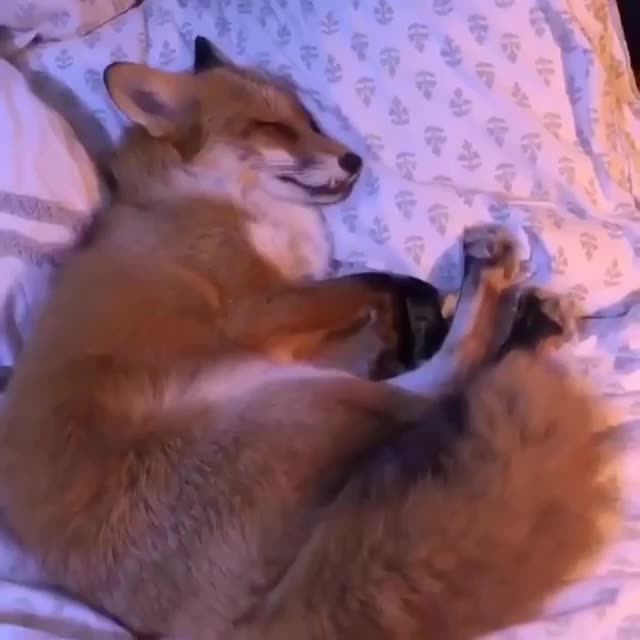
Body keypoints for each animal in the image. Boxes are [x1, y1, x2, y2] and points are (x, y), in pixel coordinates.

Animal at [0, 37, 615, 640]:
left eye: (310, 119)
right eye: (271, 128)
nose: (354, 160)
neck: (210, 196)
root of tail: (244, 625)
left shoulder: (298, 337)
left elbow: (371, 312)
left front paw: (408, 329)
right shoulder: (256, 313)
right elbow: (377, 282)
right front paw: (417, 307)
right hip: (289, 391)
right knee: (439, 388)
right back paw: (495, 290)